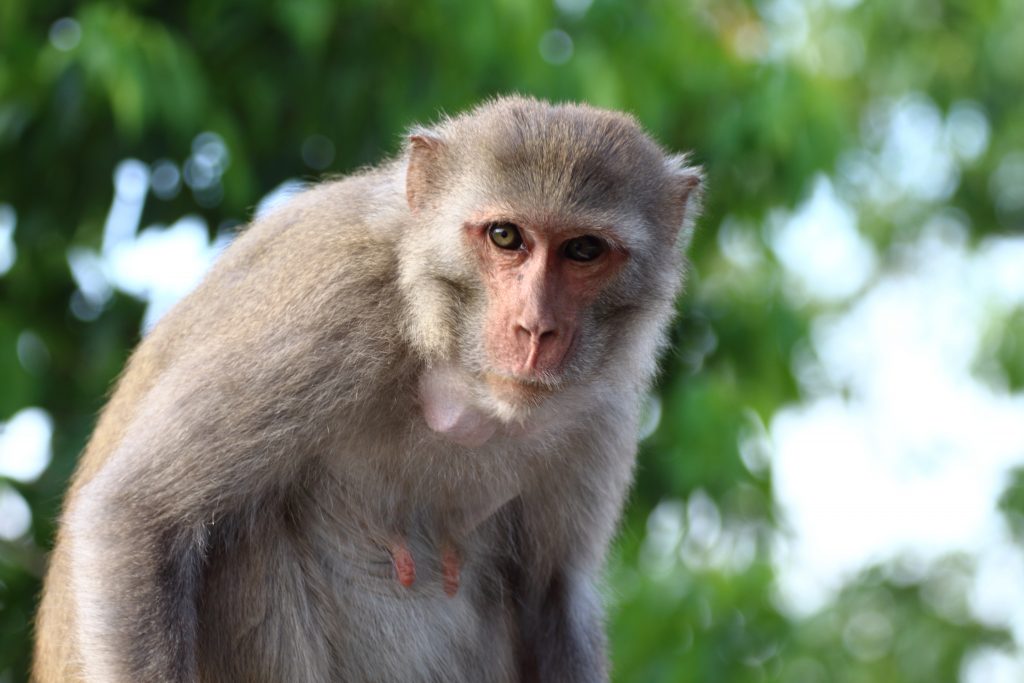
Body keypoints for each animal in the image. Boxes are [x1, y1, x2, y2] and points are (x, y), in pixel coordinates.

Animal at [33, 96, 702, 682]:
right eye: (505, 236)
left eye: (584, 250)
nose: (536, 328)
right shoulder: (333, 311)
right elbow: (138, 514)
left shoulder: (603, 408)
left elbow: (552, 594)